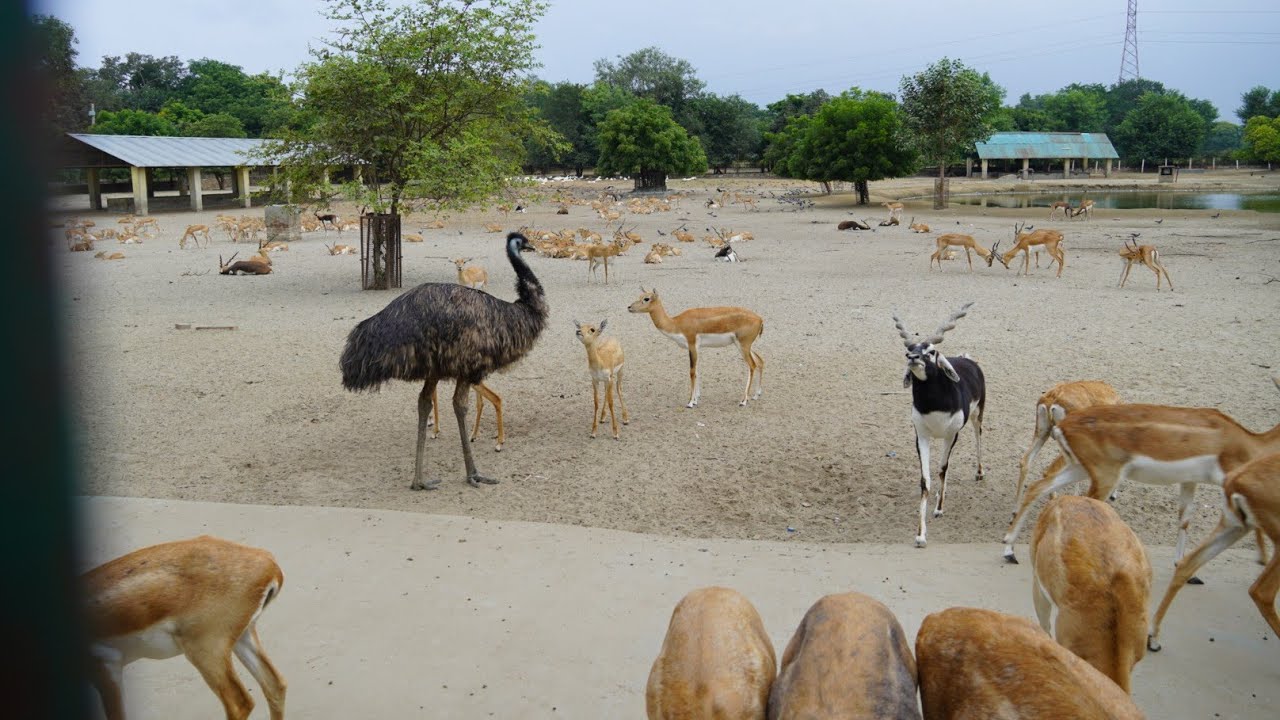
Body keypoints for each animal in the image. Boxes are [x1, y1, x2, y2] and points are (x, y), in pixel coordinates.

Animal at [83, 536, 287, 720]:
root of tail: (268, 563)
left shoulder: (107, 665)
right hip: (242, 637)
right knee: (275, 685)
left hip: (206, 650)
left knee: (240, 703)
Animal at [629, 287, 764, 409]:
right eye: (639, 296)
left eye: (646, 298)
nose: (629, 307)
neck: (676, 323)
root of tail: (760, 319)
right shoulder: (696, 348)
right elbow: (697, 371)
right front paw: (696, 399)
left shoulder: (692, 344)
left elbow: (692, 371)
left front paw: (690, 402)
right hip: (745, 345)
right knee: (760, 361)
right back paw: (756, 395)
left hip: (743, 346)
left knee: (752, 365)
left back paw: (744, 401)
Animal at [894, 302, 986, 548]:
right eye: (908, 350)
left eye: (931, 351)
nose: (913, 357)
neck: (933, 404)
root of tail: (966, 358)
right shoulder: (922, 437)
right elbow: (925, 481)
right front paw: (920, 535)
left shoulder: (951, 434)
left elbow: (943, 469)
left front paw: (939, 509)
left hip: (977, 415)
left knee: (978, 435)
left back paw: (979, 473)